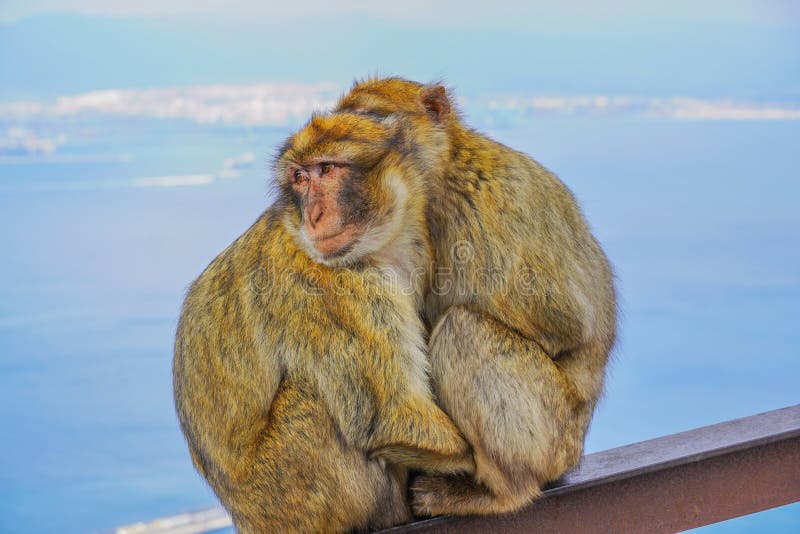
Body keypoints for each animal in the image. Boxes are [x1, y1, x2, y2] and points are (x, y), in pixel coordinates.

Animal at [172, 111, 475, 533]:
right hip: (292, 492)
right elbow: (391, 418)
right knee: (311, 396)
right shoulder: (336, 289)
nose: (314, 215)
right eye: (301, 177)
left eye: (327, 169)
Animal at [336, 77, 617, 516]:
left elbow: (565, 324)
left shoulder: (487, 206)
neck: (440, 174)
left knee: (464, 329)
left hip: (553, 435)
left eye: (369, 118)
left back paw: (504, 492)